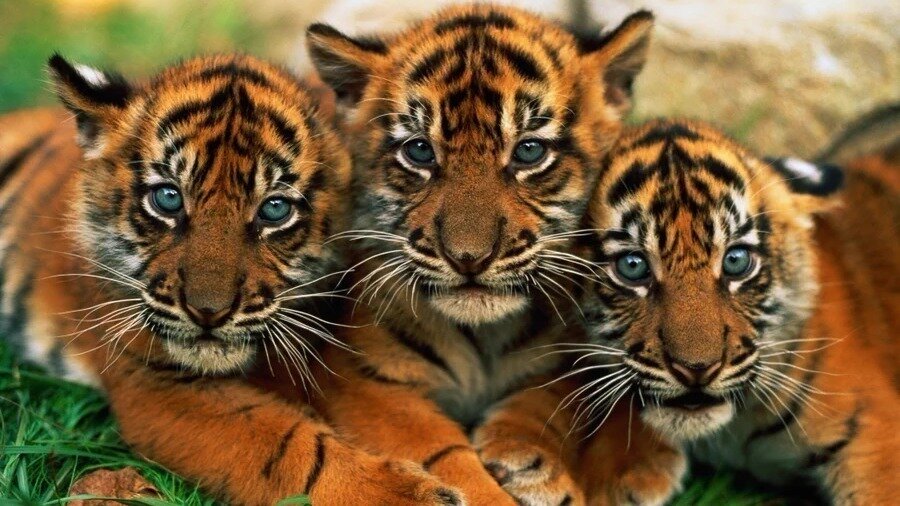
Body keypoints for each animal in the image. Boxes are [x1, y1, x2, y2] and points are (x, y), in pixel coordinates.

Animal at [0, 54, 468, 505]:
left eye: (275, 209)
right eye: (168, 198)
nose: (208, 312)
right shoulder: (155, 381)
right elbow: (290, 449)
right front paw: (412, 495)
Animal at [303, 4, 654, 504]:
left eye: (529, 151)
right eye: (419, 151)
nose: (468, 258)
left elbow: (544, 404)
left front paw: (534, 464)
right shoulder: (363, 379)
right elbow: (436, 446)